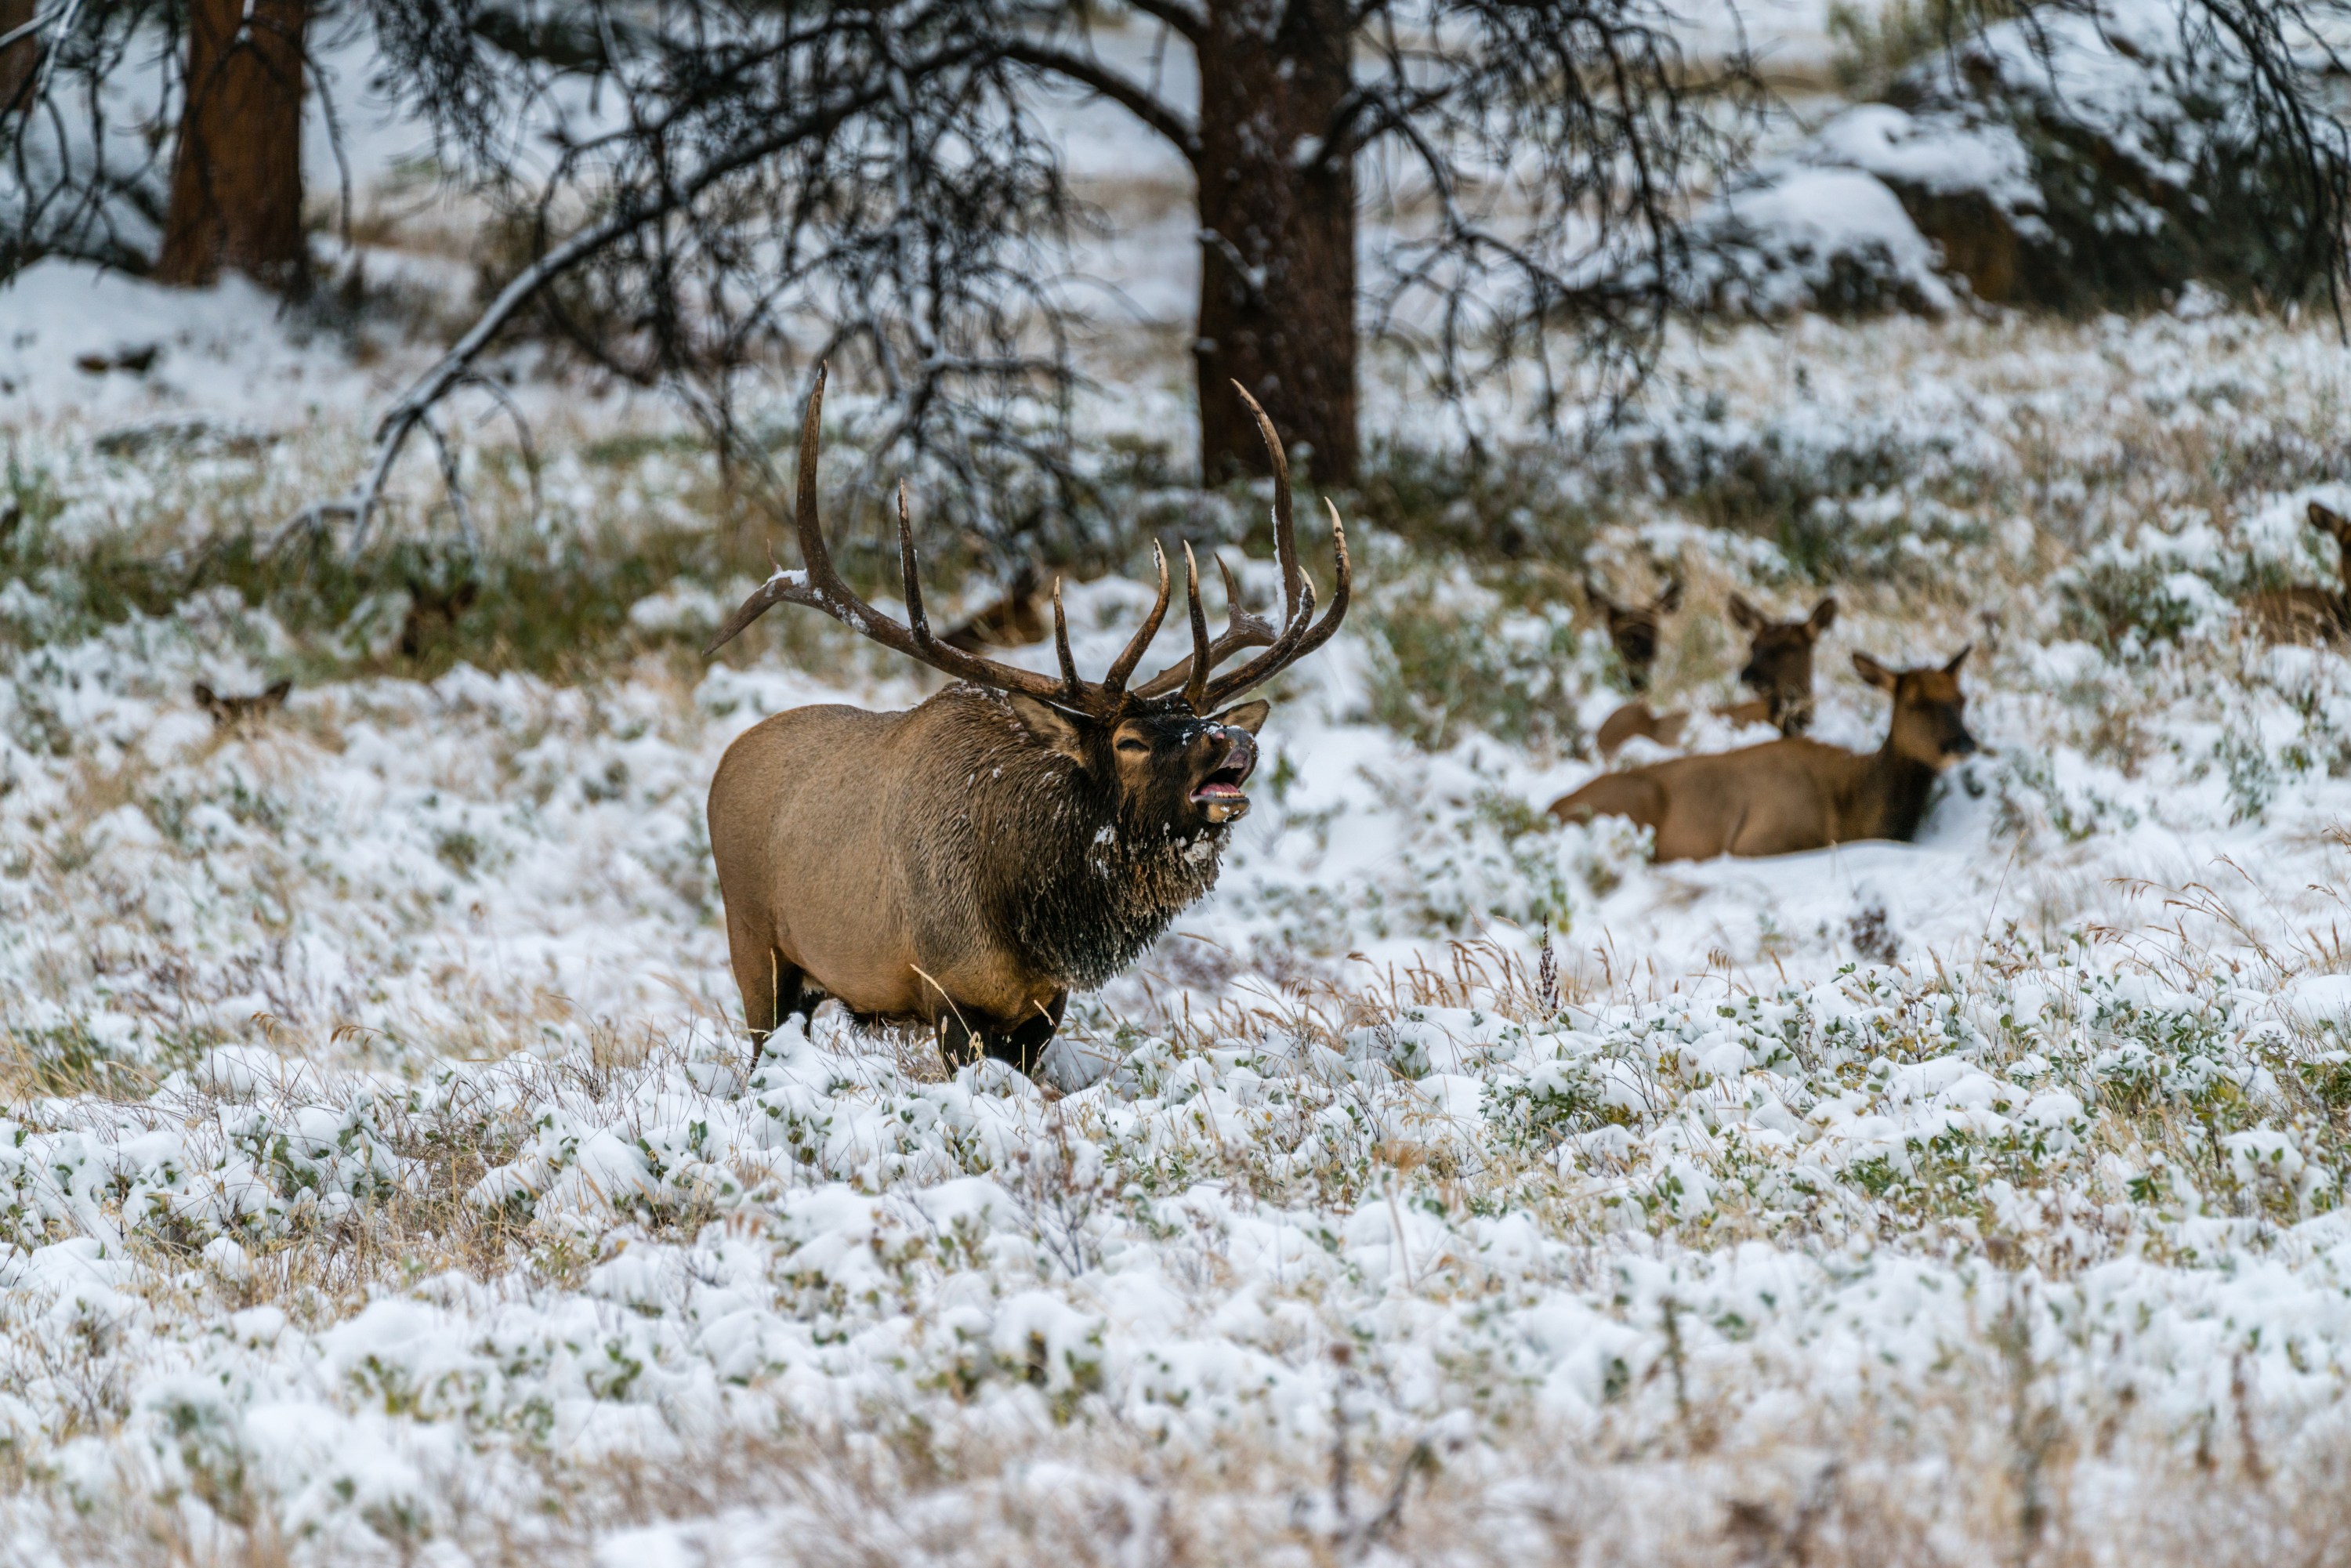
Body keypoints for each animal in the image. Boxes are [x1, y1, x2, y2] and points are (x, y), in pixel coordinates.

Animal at [704, 370, 1349, 1073]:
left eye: (1201, 716)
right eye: (1128, 741)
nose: (1233, 737)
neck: (1034, 916)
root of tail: (724, 761)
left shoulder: (1044, 1004)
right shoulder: (947, 991)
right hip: (754, 946)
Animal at [1552, 647, 1977, 861]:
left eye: (1961, 699)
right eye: (1915, 704)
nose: (1964, 743)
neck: (1855, 808)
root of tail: (1550, 810)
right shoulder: (1759, 837)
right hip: (1634, 801)